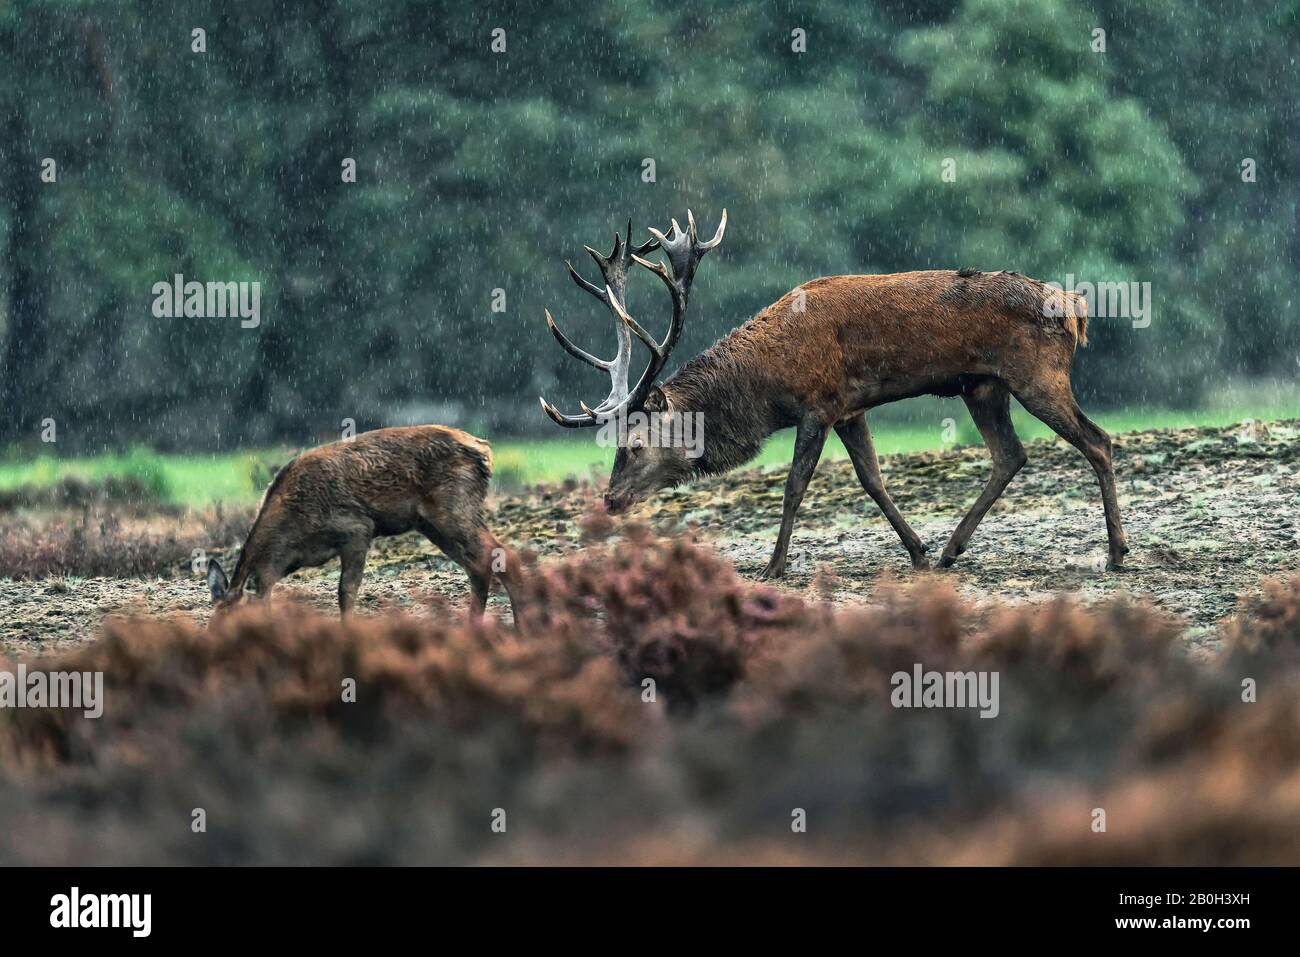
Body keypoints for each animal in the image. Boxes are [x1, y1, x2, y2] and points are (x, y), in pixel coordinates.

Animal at [205, 425, 523, 618]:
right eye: (212, 624)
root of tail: (484, 451)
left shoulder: (356, 529)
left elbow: (346, 592)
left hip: (455, 508)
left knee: (504, 555)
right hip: (432, 525)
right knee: (478, 565)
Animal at [539, 210, 1128, 579]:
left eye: (634, 445)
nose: (610, 499)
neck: (766, 384)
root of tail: (1073, 305)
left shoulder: (817, 404)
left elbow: (795, 486)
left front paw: (773, 566)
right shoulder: (851, 410)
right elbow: (872, 479)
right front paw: (916, 552)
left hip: (1037, 375)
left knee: (1097, 441)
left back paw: (1117, 553)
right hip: (982, 386)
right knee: (1011, 454)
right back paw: (949, 551)